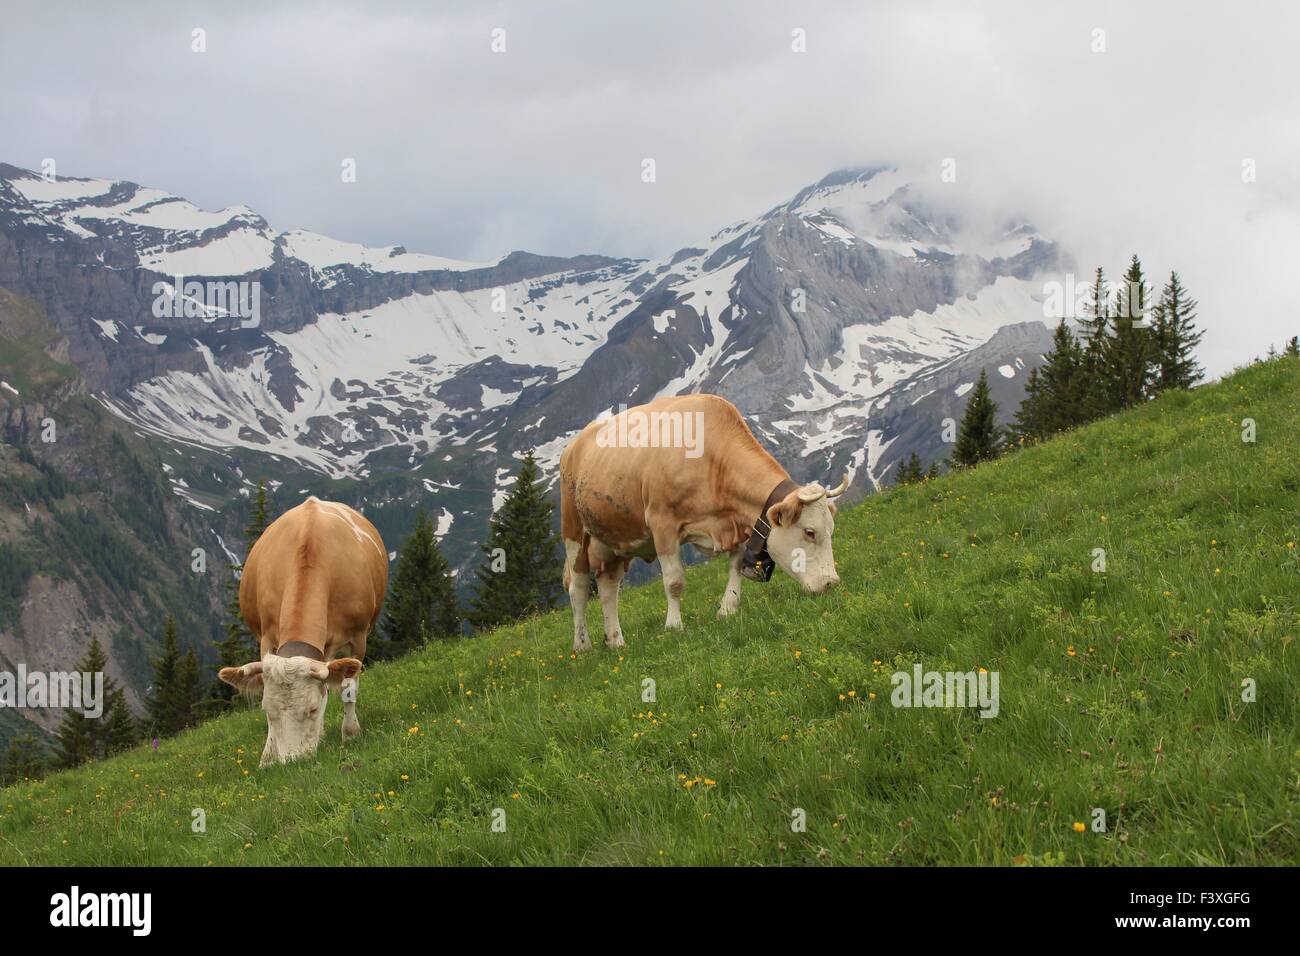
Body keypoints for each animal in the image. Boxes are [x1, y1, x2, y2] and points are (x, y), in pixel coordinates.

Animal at [218, 497, 387, 766]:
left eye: (313, 709)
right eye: (268, 711)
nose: (292, 762)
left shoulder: (358, 638)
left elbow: (347, 688)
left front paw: (350, 733)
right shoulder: (267, 637)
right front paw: (268, 755)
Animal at [559, 393, 847, 652]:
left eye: (831, 530)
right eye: (810, 532)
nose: (831, 582)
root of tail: (574, 445)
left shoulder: (735, 526)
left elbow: (735, 567)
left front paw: (727, 609)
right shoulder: (662, 524)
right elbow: (674, 581)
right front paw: (674, 626)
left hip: (614, 540)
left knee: (608, 589)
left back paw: (616, 641)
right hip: (573, 531)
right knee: (578, 589)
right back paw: (582, 645)